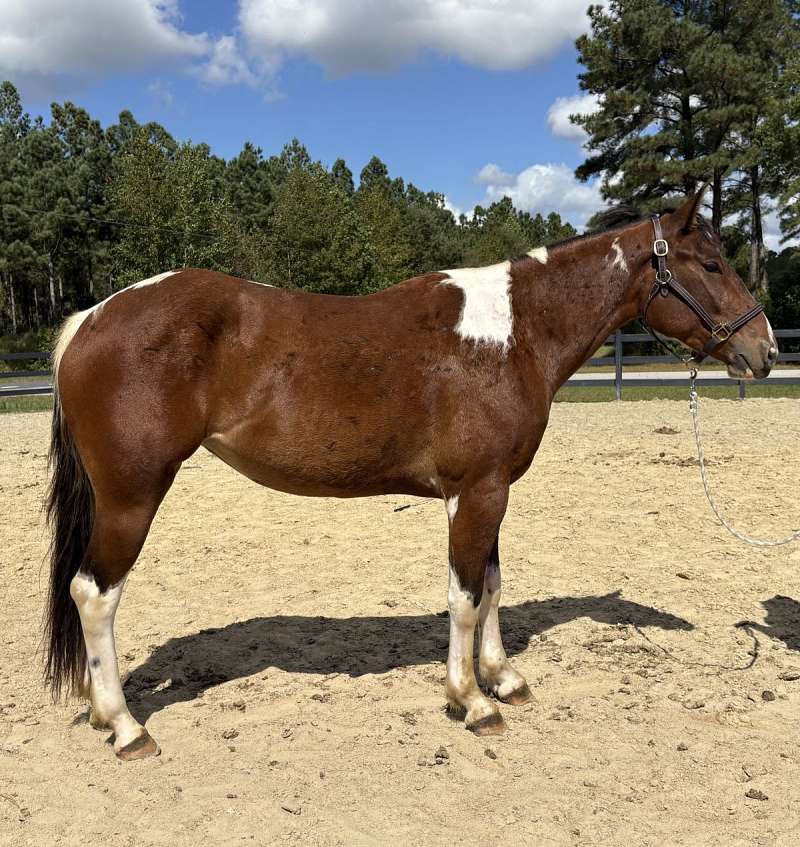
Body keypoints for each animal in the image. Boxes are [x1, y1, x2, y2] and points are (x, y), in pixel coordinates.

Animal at [44, 189, 777, 760]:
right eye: (710, 263)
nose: (764, 350)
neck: (514, 335)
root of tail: (90, 320)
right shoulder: (475, 492)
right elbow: (464, 596)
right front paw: (473, 701)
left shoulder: (492, 490)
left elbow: (492, 585)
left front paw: (503, 677)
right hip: (131, 497)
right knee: (93, 594)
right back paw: (126, 726)